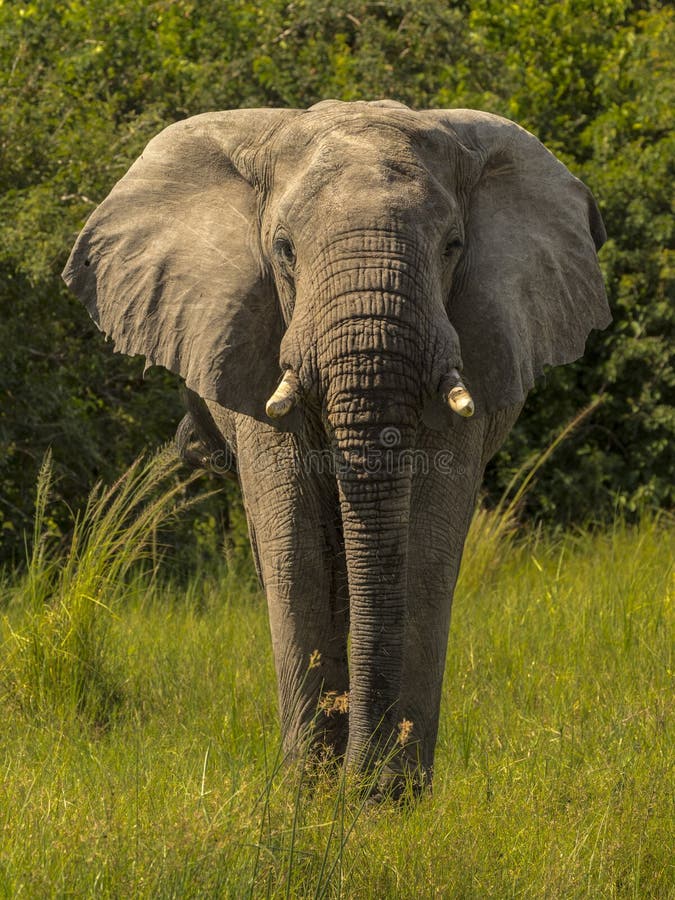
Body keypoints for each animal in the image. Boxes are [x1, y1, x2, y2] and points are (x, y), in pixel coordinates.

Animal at [62, 99, 610, 797]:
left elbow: (424, 549)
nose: (362, 780)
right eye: (284, 250)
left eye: (452, 247)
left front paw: (388, 797)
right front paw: (310, 793)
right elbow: (295, 547)